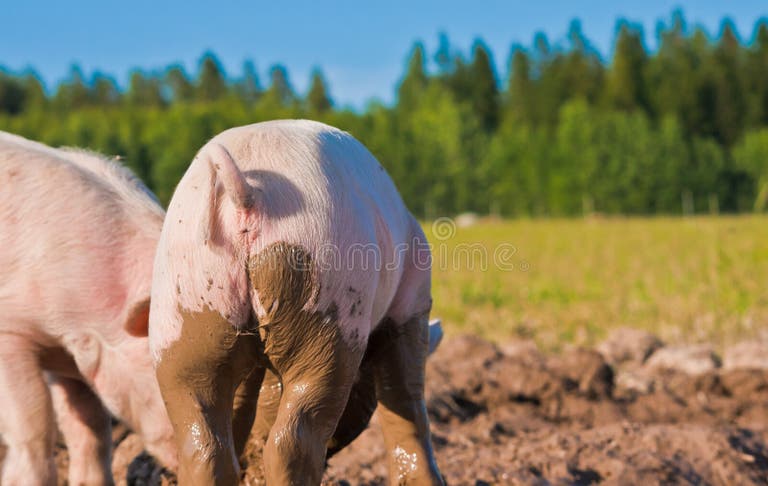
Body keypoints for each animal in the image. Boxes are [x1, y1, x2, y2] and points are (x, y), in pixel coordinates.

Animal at [148, 119, 444, 485]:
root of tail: (248, 196)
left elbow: (242, 404)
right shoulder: (412, 301)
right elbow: (405, 395)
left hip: (181, 314)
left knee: (201, 440)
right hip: (326, 303)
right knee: (294, 437)